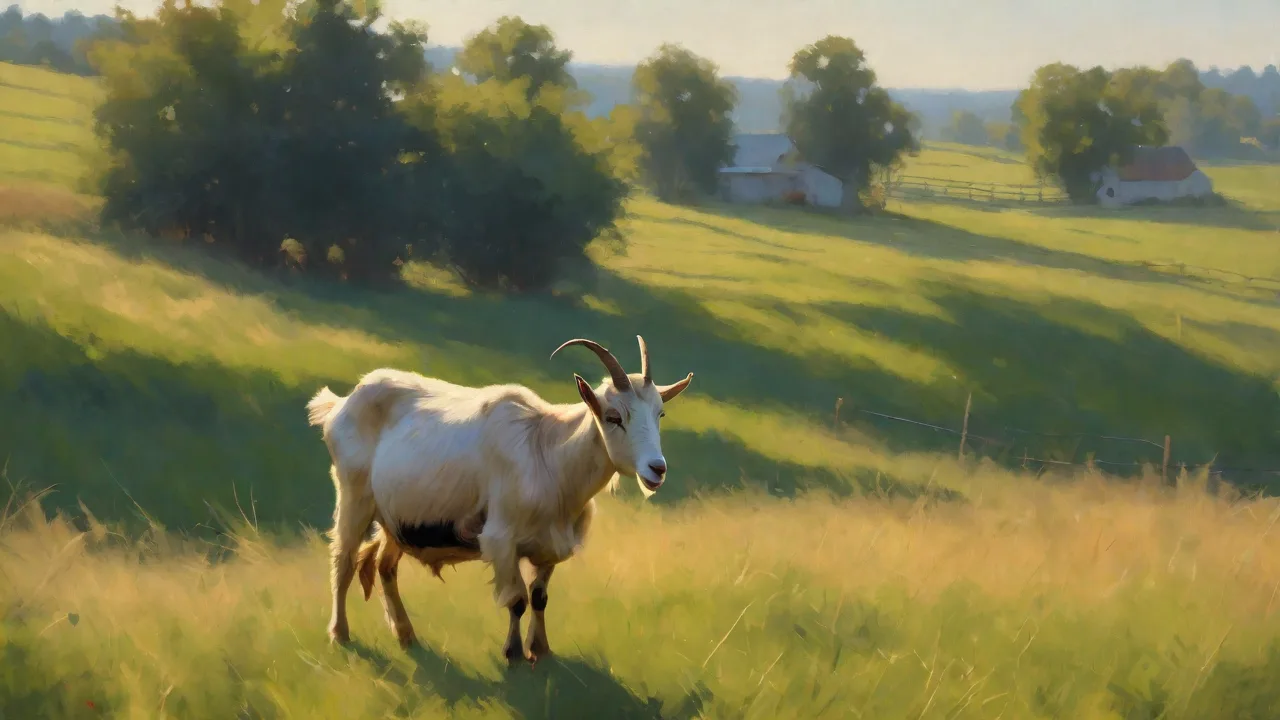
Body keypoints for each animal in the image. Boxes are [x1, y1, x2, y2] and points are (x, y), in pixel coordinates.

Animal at [305, 336, 693, 665]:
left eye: (659, 414)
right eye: (613, 417)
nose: (657, 469)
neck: (548, 453)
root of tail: (340, 404)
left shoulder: (549, 546)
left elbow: (539, 597)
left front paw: (542, 650)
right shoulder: (500, 540)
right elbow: (517, 600)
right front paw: (514, 653)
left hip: (396, 518)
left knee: (384, 565)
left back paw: (406, 636)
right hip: (354, 494)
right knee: (344, 559)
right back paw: (340, 634)